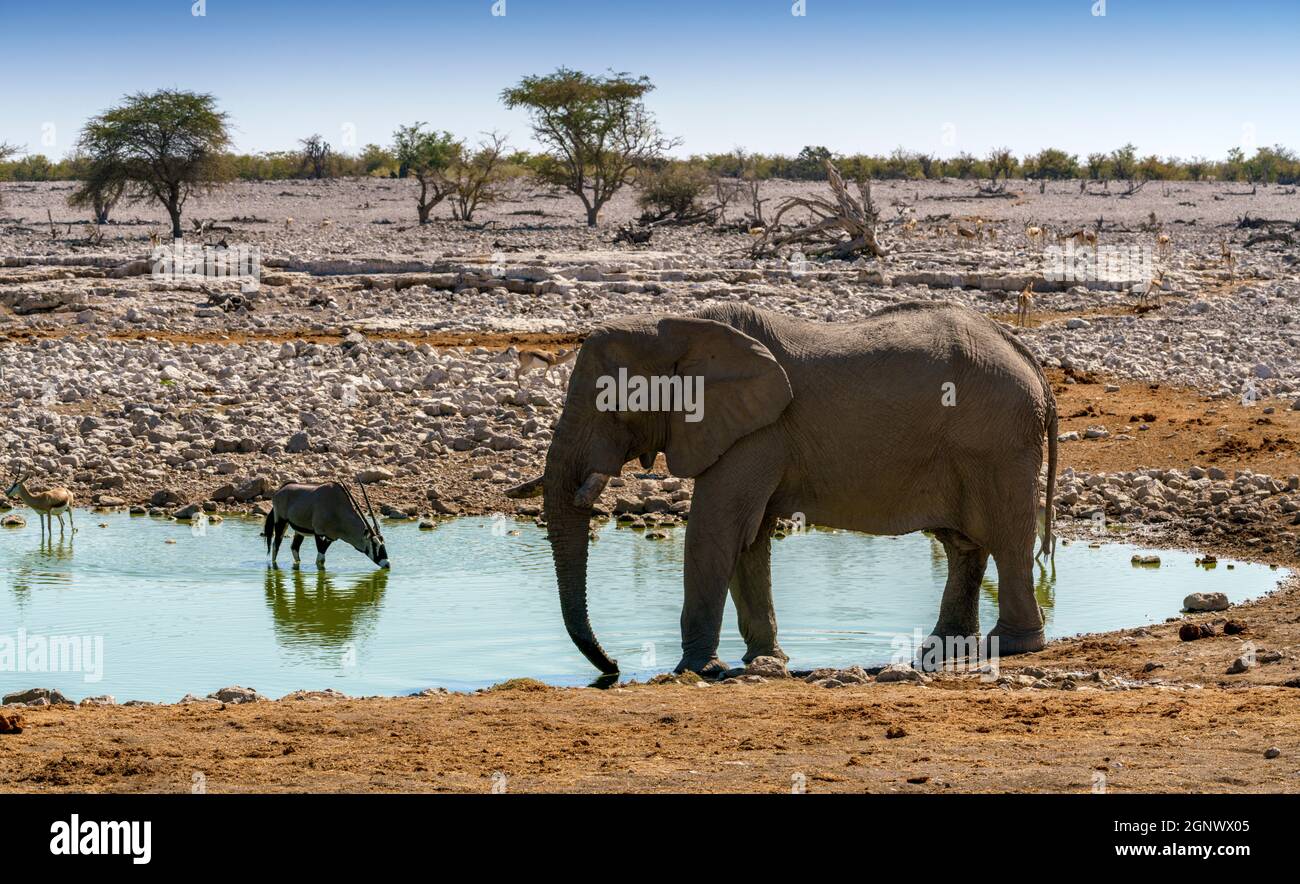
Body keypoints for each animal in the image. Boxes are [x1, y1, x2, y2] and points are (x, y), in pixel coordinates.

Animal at [508, 301, 1058, 678]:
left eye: (610, 404)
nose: (615, 667)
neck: (682, 325)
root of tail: (1026, 356)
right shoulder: (751, 431)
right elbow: (749, 538)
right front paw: (764, 660)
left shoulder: (756, 433)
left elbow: (716, 527)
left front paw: (694, 671)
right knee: (963, 544)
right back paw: (938, 652)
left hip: (999, 441)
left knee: (1007, 538)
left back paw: (1011, 646)